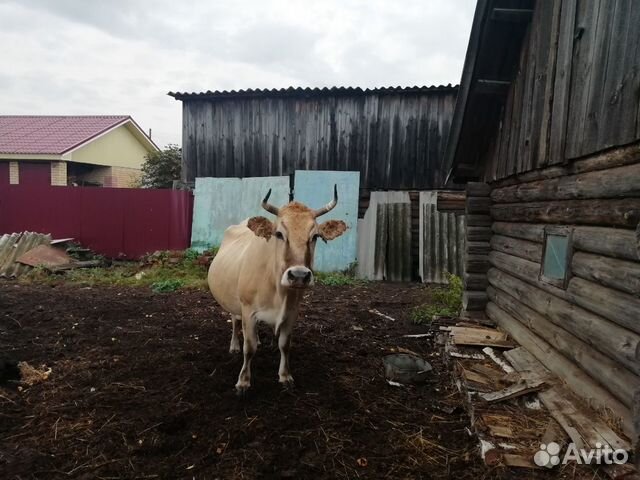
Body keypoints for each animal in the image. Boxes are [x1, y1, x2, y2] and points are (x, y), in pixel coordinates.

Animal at [208, 186, 347, 393]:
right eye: (279, 234)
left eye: (315, 236)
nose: (299, 275)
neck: (278, 292)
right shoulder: (248, 309)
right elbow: (249, 348)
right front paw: (243, 381)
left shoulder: (292, 311)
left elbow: (284, 344)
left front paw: (285, 376)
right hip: (233, 301)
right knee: (235, 321)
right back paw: (234, 345)